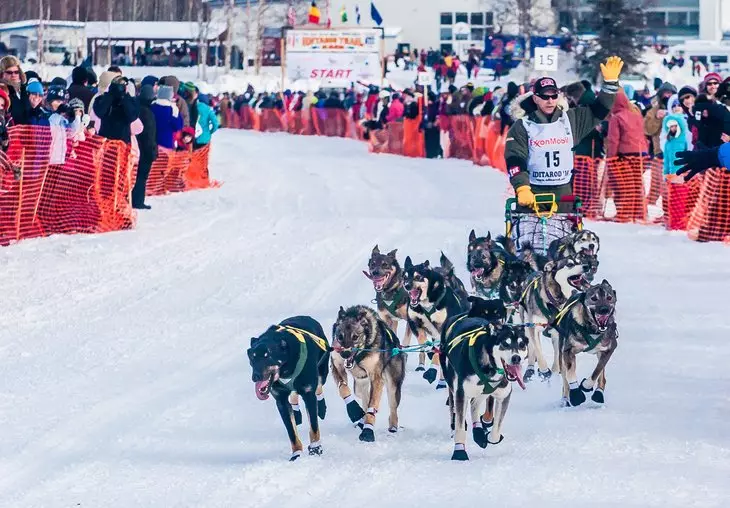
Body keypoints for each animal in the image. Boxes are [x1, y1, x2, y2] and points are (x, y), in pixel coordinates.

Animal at [250, 316, 330, 462]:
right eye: (252, 357)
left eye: (267, 355)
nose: (255, 376)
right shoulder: (280, 401)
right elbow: (291, 431)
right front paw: (296, 453)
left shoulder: (308, 394)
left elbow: (313, 426)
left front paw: (315, 448)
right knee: (293, 394)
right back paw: (297, 413)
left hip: (322, 371)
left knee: (319, 387)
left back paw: (321, 408)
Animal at [328, 306, 404, 440]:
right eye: (340, 336)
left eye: (355, 337)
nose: (345, 354)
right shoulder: (337, 366)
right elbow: (343, 389)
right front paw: (354, 411)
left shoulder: (376, 378)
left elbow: (372, 406)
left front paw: (368, 431)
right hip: (359, 386)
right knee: (364, 397)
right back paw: (361, 419)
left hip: (392, 385)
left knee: (392, 408)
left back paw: (392, 428)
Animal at [398, 256, 466, 386]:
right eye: (405, 277)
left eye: (418, 277)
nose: (407, 285)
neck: (427, 304)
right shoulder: (415, 323)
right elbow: (423, 341)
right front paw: (429, 351)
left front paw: (431, 371)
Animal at [440, 316, 528, 458]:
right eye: (505, 344)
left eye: (521, 345)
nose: (516, 358)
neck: (490, 367)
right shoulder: (462, 393)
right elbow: (460, 428)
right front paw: (459, 452)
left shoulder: (503, 395)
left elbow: (496, 432)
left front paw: (486, 436)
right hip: (453, 385)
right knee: (455, 408)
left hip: (484, 391)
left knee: (474, 404)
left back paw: (478, 431)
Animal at [516, 252, 592, 382]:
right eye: (570, 264)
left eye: (580, 261)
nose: (586, 266)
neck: (552, 299)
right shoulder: (533, 328)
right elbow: (538, 351)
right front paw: (544, 371)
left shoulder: (557, 333)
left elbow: (557, 355)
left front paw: (555, 372)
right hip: (526, 325)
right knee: (531, 347)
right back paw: (530, 370)